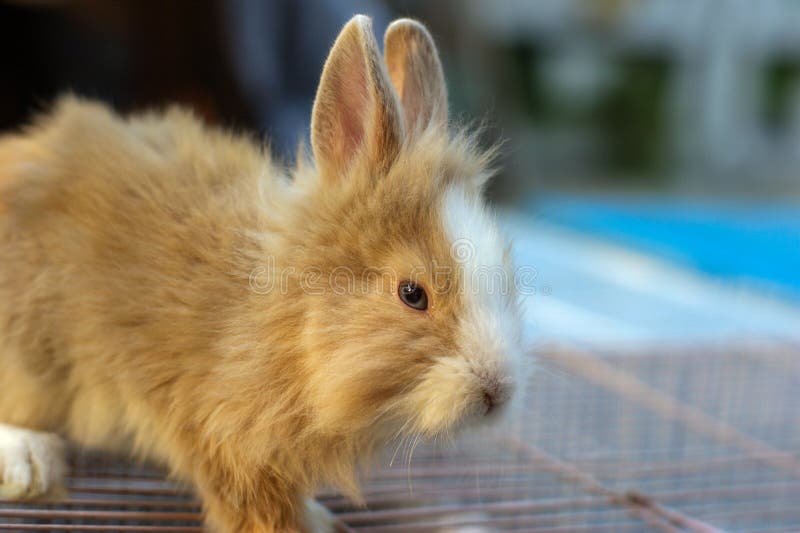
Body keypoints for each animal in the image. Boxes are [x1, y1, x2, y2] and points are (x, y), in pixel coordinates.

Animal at [0, 15, 524, 533]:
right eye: (412, 294)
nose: (498, 392)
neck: (287, 325)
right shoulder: (233, 450)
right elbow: (264, 513)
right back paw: (29, 463)